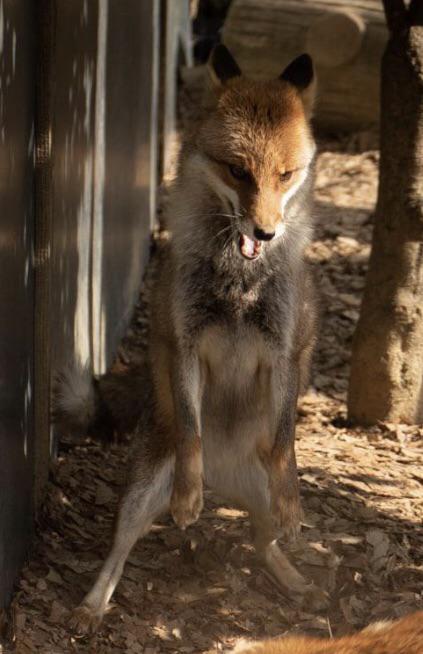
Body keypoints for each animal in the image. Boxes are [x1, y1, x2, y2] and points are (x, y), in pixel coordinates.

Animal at [55, 44, 320, 633]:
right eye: (238, 170)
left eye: (285, 174)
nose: (266, 232)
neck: (239, 285)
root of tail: (228, 475)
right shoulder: (185, 344)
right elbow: (192, 434)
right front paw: (187, 500)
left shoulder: (283, 353)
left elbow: (286, 442)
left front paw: (295, 508)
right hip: (140, 493)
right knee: (118, 552)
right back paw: (90, 607)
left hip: (257, 497)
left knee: (262, 540)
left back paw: (291, 576)